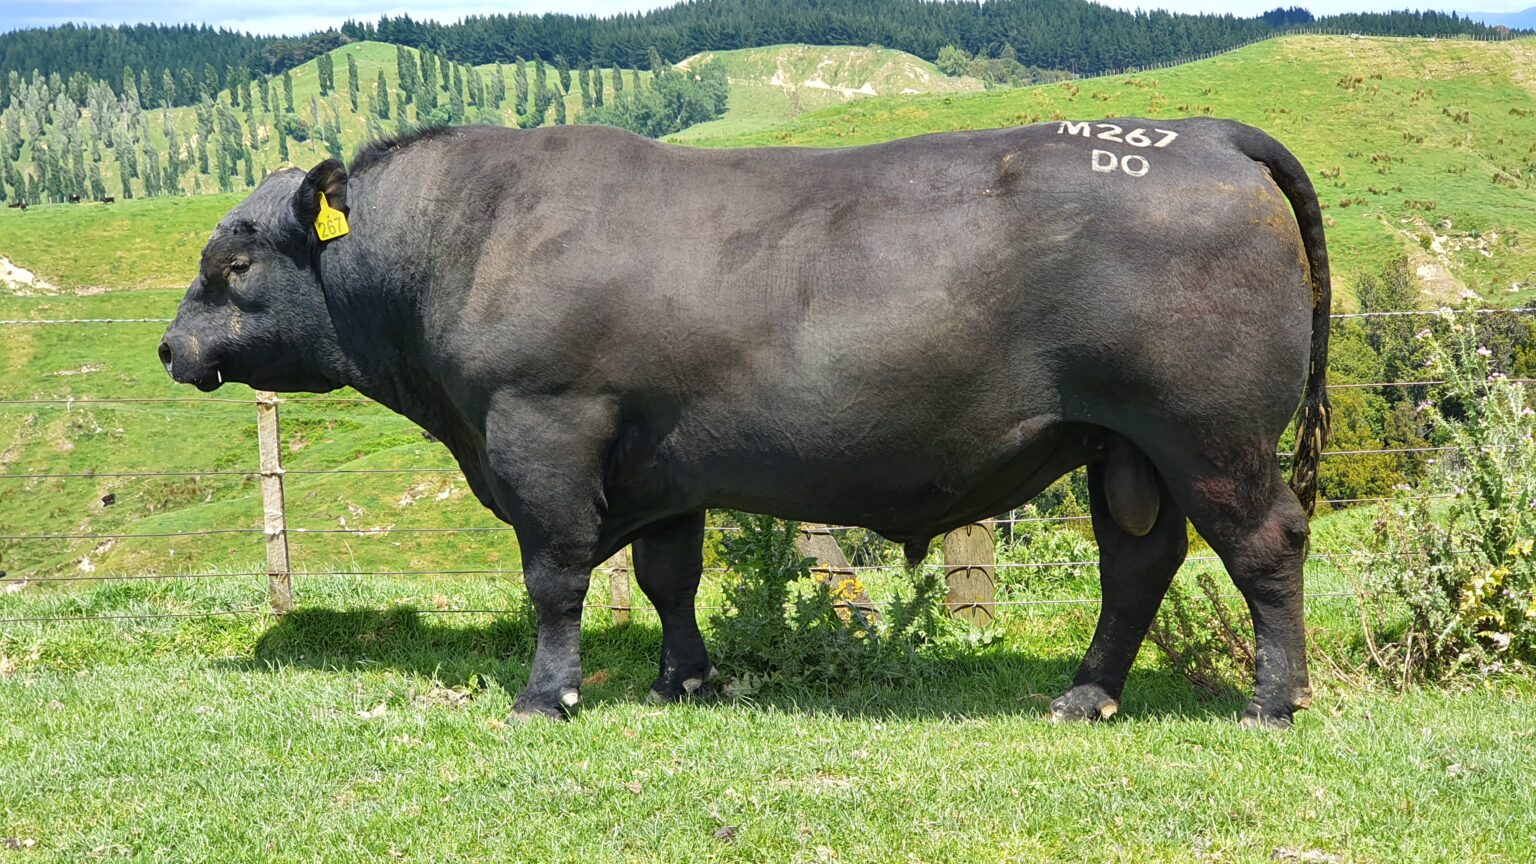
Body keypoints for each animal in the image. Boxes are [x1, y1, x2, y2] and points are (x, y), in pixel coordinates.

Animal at [160, 120, 1331, 728]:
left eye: (234, 262)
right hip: (1124, 449)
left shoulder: (544, 429)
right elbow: (669, 576)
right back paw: (1086, 696)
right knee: (1139, 566)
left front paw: (548, 695)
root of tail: (1204, 134)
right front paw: (685, 679)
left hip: (1209, 434)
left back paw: (1272, 702)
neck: (468, 237)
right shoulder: (660, 460)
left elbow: (555, 578)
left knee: (1266, 546)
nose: (171, 347)